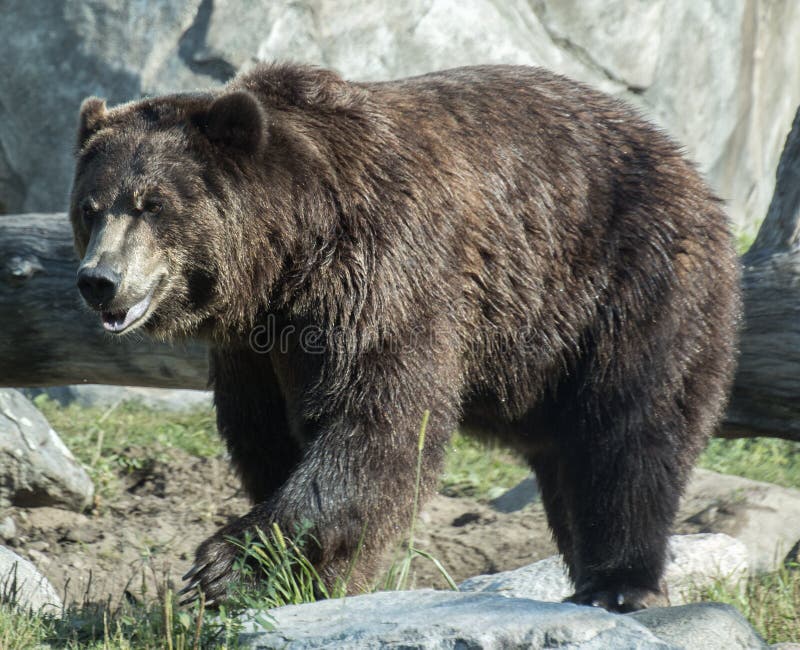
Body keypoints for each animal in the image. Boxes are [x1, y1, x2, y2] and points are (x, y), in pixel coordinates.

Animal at [69, 63, 740, 612]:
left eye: (152, 204)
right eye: (89, 207)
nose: (99, 280)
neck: (290, 256)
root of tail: (690, 169)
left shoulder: (384, 271)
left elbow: (379, 424)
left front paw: (224, 568)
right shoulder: (256, 346)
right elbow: (266, 434)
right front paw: (289, 578)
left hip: (627, 283)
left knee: (631, 431)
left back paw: (618, 584)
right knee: (570, 459)